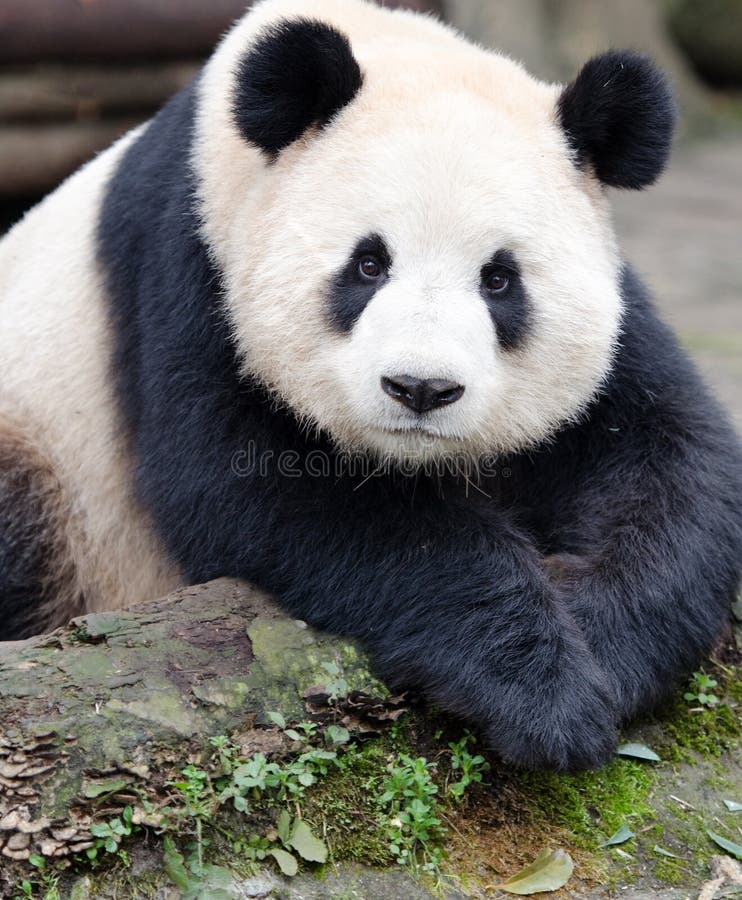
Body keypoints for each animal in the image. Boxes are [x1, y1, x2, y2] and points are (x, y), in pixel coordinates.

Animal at [1, 0, 740, 772]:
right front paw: (542, 690)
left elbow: (672, 457)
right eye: (368, 264)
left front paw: (602, 638)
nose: (421, 388)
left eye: (499, 279)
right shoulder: (191, 258)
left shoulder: (621, 319)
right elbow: (246, 481)